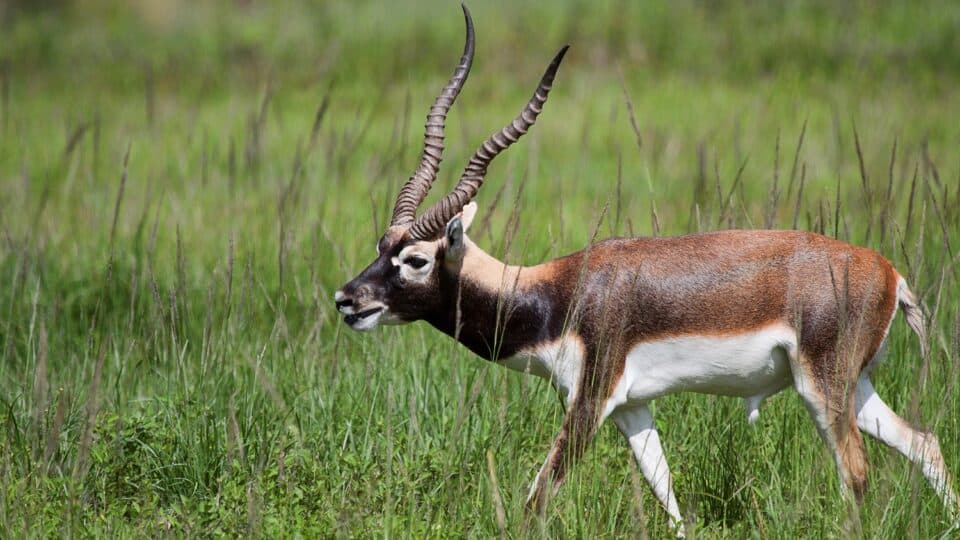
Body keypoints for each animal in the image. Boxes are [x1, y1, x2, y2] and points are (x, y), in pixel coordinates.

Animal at [334, 5, 958, 534]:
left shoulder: (590, 399)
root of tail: (889, 273)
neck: (555, 294)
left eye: (415, 259)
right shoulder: (633, 407)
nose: (347, 299)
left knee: (858, 472)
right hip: (855, 387)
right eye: (381, 244)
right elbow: (667, 493)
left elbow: (538, 497)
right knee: (925, 443)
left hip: (822, 387)